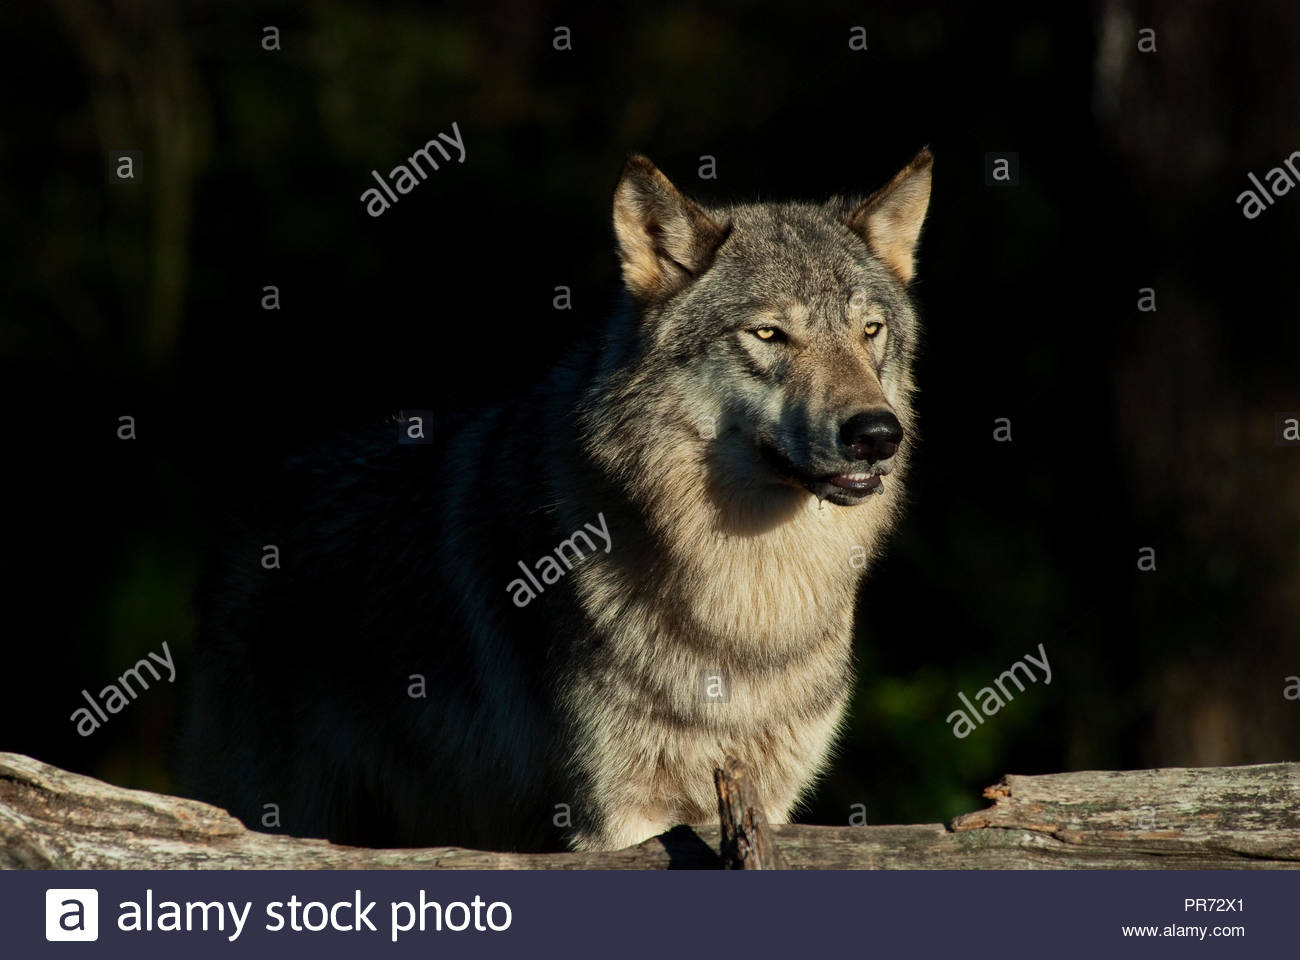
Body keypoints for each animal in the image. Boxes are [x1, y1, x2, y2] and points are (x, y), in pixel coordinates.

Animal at [177, 148, 932, 853]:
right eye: (770, 334)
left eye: (869, 331)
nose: (876, 434)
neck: (749, 605)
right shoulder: (619, 818)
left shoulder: (761, 808)